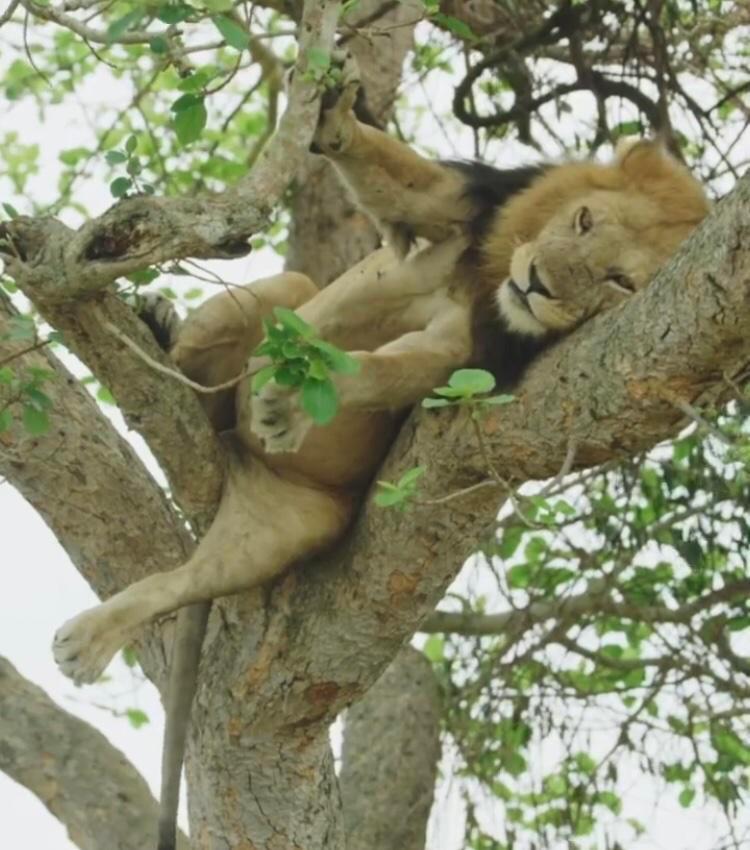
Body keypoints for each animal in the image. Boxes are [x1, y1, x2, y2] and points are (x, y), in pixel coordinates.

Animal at [51, 73, 709, 850]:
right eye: (582, 221)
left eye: (618, 283)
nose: (540, 285)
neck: (494, 281)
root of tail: (238, 462)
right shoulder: (457, 211)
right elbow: (395, 175)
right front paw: (335, 111)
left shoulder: (462, 358)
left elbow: (381, 371)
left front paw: (298, 403)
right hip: (282, 298)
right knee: (230, 354)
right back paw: (159, 330)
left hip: (286, 524)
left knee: (184, 580)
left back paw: (88, 640)